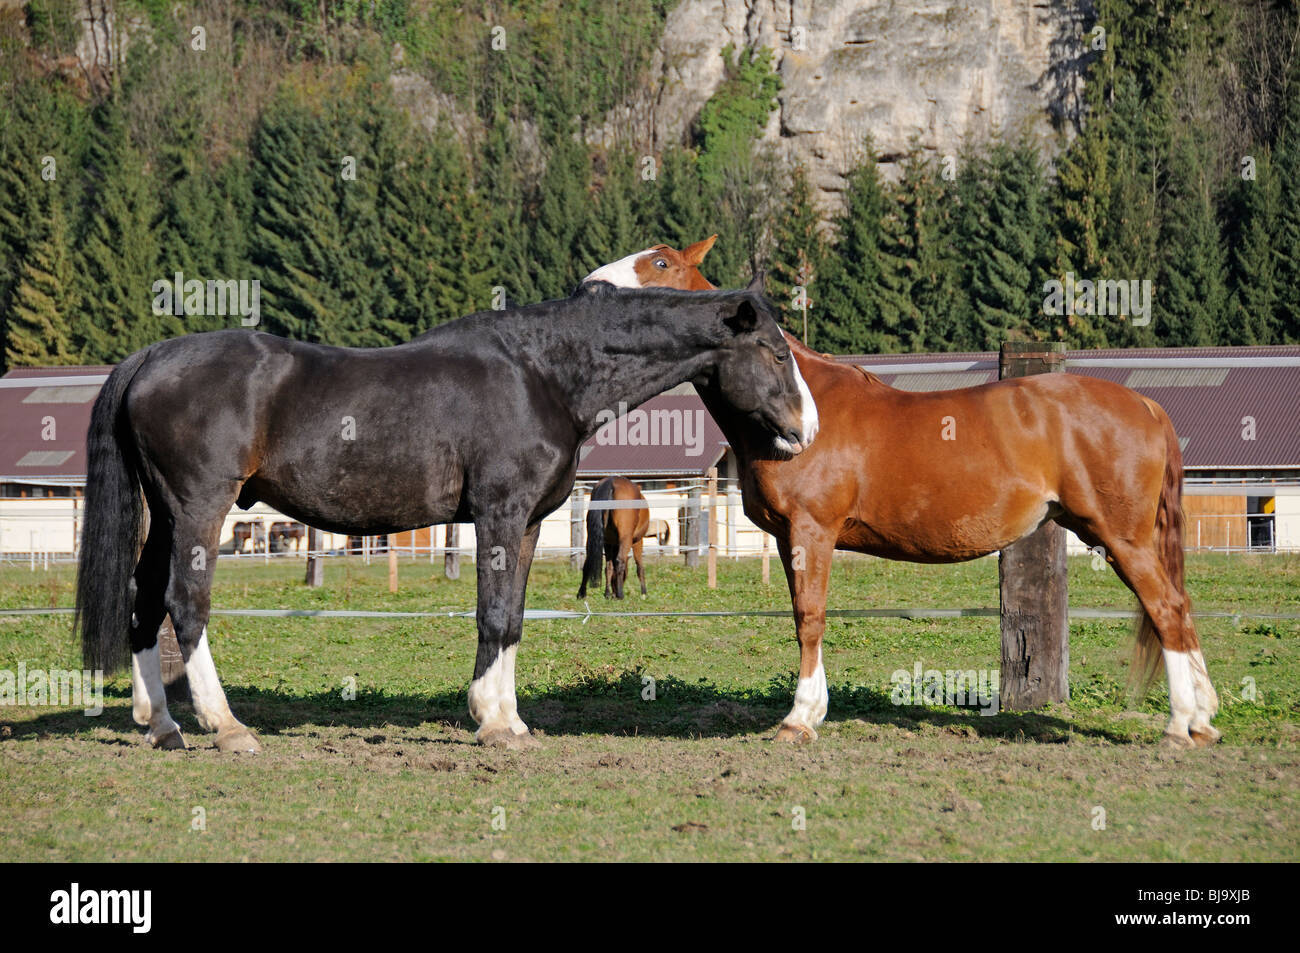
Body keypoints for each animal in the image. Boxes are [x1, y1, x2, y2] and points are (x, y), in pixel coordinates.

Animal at [76, 285, 818, 753]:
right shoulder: (498, 513)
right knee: (184, 604)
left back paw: (162, 724)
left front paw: (508, 719)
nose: (805, 430)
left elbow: (512, 616)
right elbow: (492, 614)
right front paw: (490, 722)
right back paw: (225, 726)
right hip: (200, 508)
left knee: (145, 600)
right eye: (777, 352)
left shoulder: (527, 523)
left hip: (166, 516)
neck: (542, 373)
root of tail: (151, 357)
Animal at [583, 241, 1220, 750]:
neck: (798, 407)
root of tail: (1146, 404)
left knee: (1167, 610)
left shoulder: (812, 531)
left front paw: (799, 719)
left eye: (660, 263)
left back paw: (1179, 727)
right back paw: (1202, 719)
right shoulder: (792, 538)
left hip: (1120, 537)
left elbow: (809, 618)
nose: (589, 288)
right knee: (1178, 610)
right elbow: (803, 615)